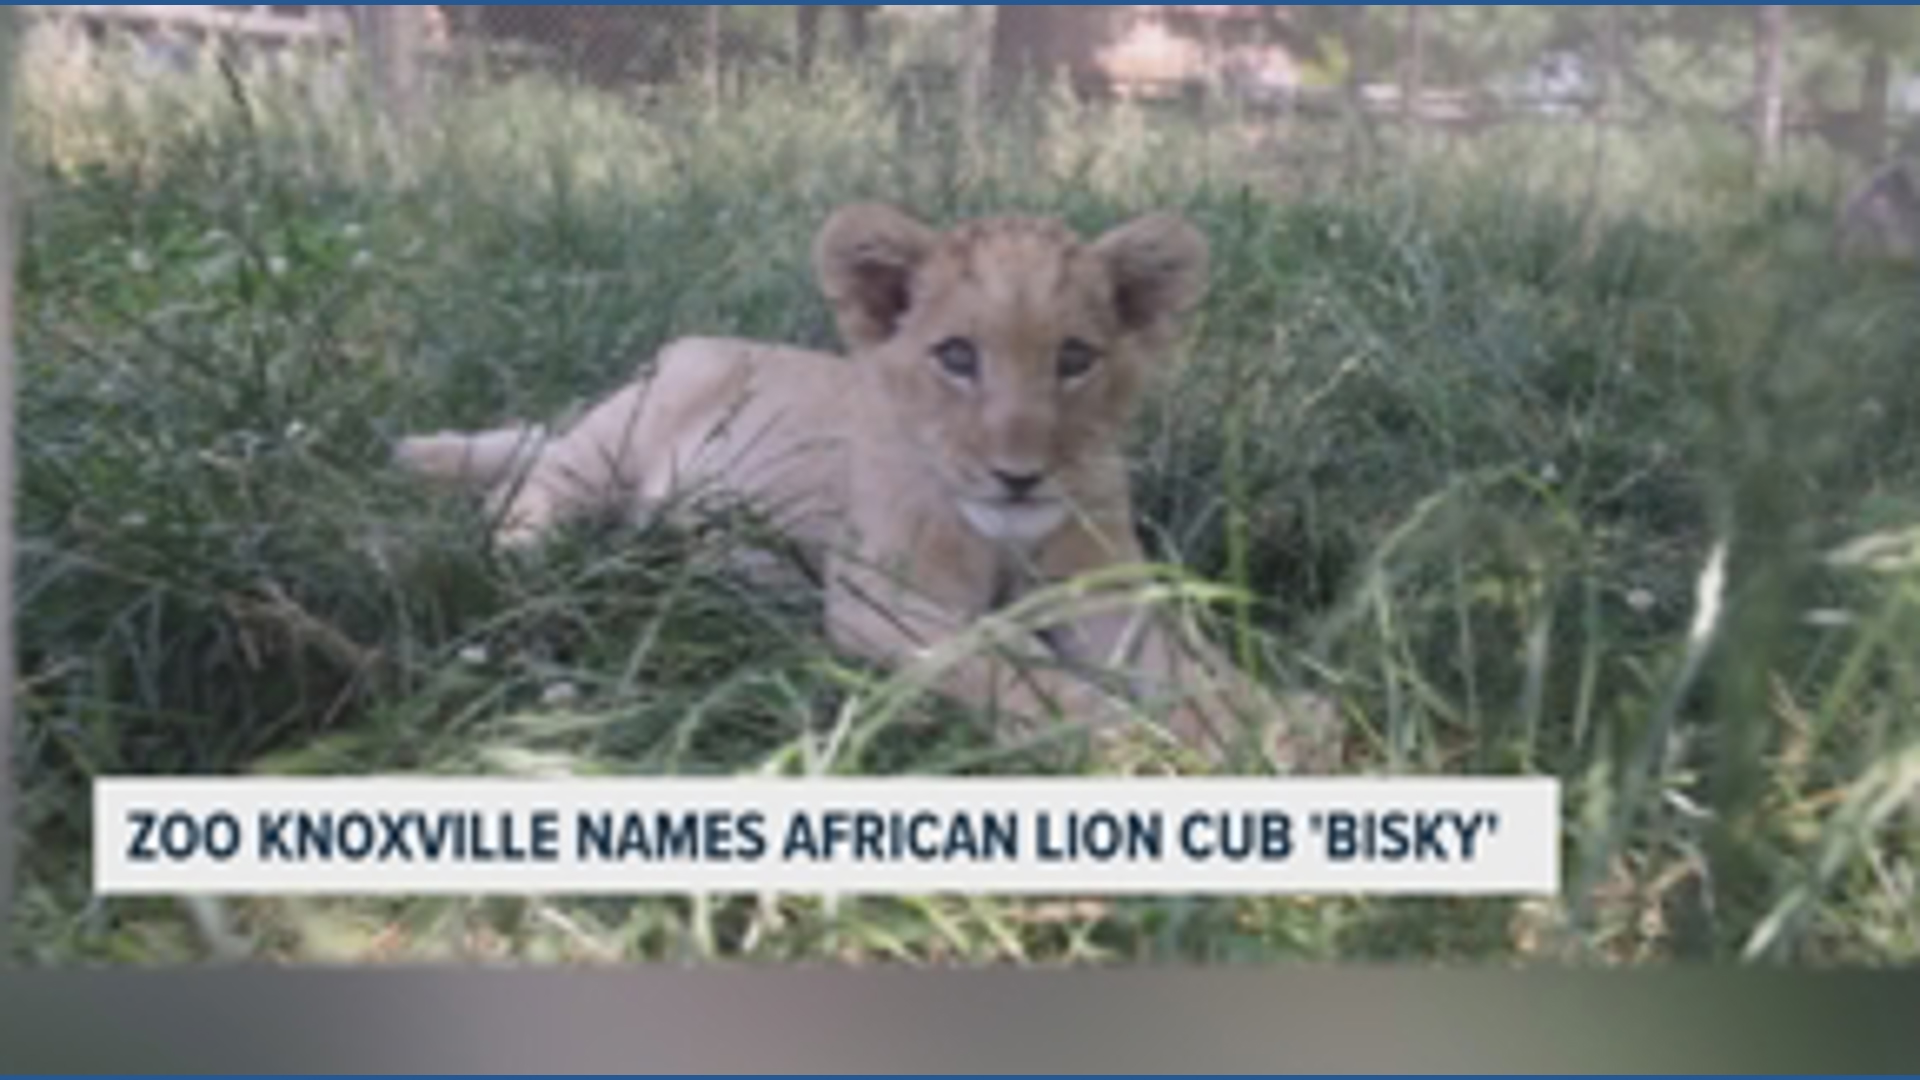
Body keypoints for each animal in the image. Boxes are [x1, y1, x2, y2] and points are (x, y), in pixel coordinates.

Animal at [394, 204, 1340, 771]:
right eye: (957, 356)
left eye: (1074, 358)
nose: (1020, 474)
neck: (999, 535)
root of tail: (682, 345)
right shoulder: (882, 599)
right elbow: (1009, 665)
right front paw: (1123, 741)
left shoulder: (1105, 588)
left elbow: (1185, 657)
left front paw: (1271, 723)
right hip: (611, 445)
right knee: (529, 485)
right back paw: (532, 563)